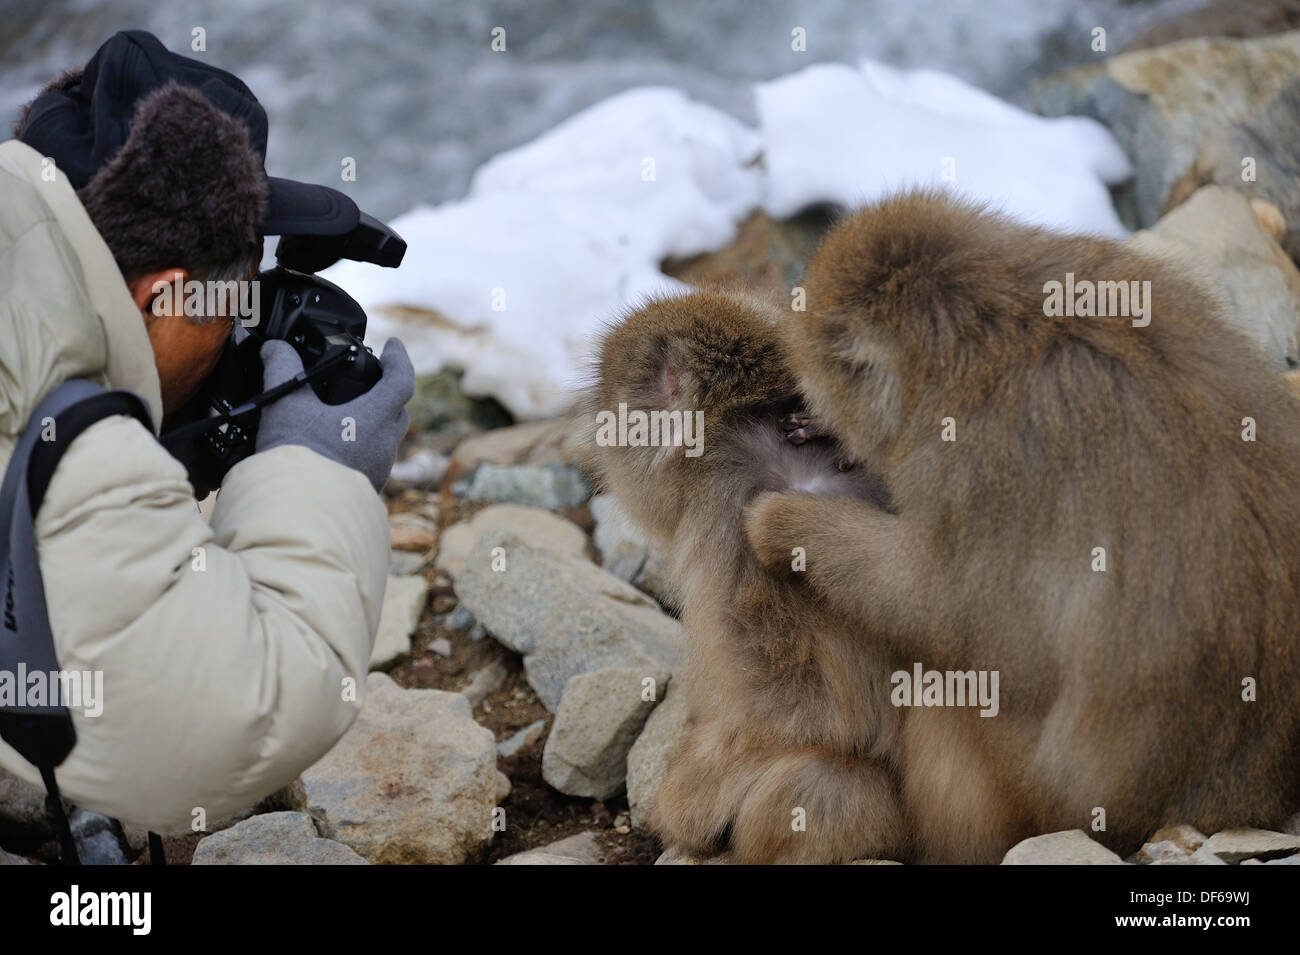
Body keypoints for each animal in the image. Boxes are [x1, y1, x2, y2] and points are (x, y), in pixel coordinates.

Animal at [743, 189, 1300, 862]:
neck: (1002, 328)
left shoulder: (977, 465)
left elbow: (941, 607)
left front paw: (784, 525)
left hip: (1046, 797)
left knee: (945, 685)